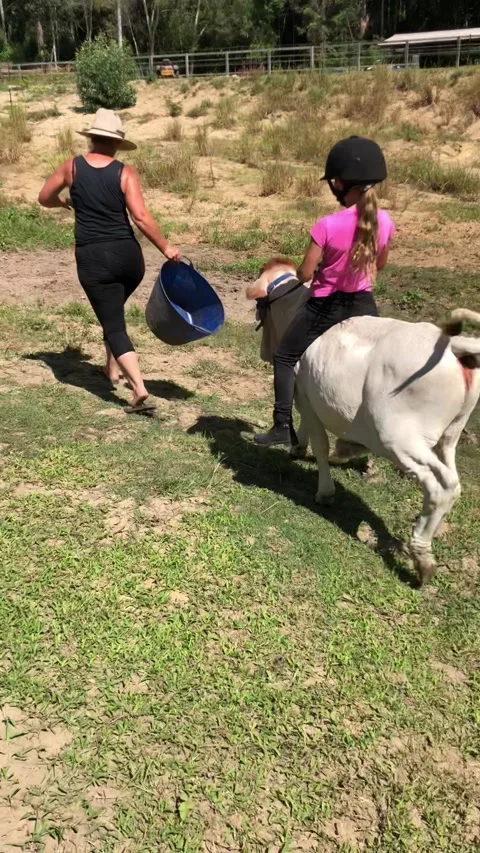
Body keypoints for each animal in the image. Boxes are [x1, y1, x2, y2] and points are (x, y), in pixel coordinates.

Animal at [247, 258, 480, 585]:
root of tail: (452, 345)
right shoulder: (308, 394)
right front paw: (309, 449)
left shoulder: (301, 390)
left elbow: (319, 442)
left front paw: (324, 489)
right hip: (450, 436)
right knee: (454, 483)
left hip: (398, 438)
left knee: (441, 486)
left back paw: (421, 555)